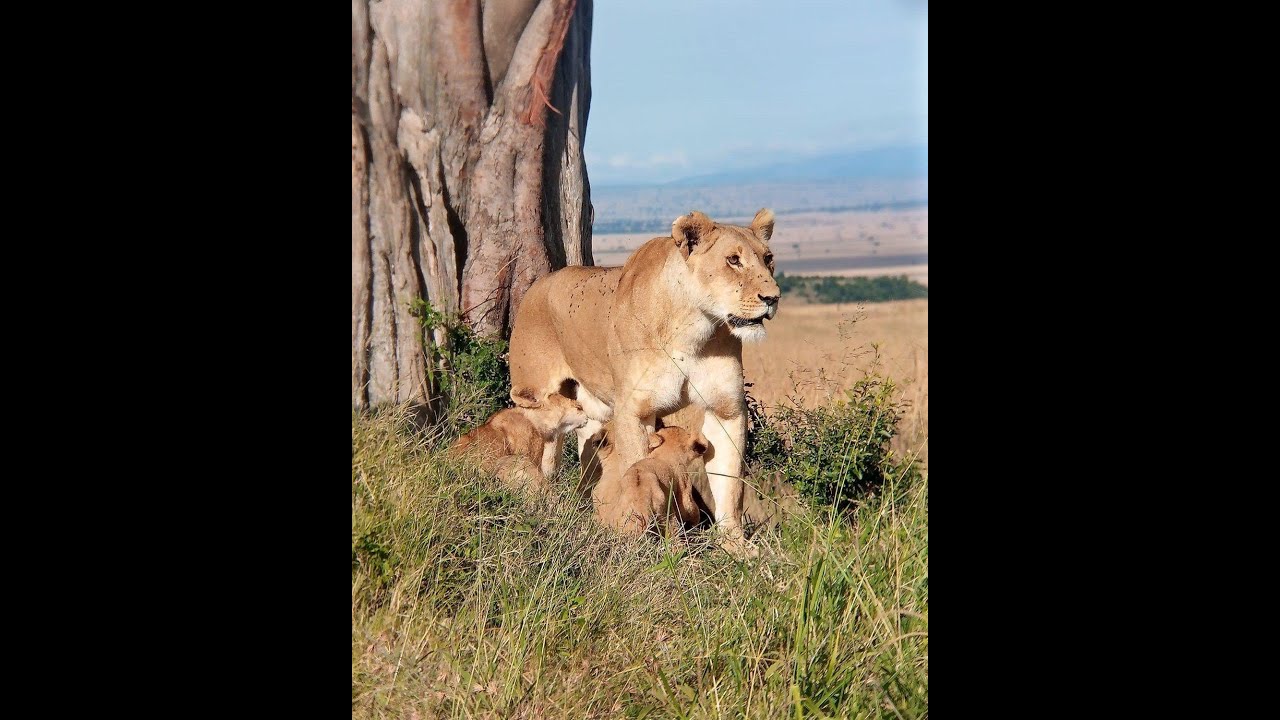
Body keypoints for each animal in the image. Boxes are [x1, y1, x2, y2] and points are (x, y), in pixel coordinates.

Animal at [508, 209, 780, 554]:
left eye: (768, 258)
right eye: (733, 260)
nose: (773, 298)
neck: (694, 327)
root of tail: (539, 284)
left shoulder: (727, 408)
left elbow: (729, 485)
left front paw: (737, 548)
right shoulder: (635, 411)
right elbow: (637, 469)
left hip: (592, 416)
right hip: (536, 399)